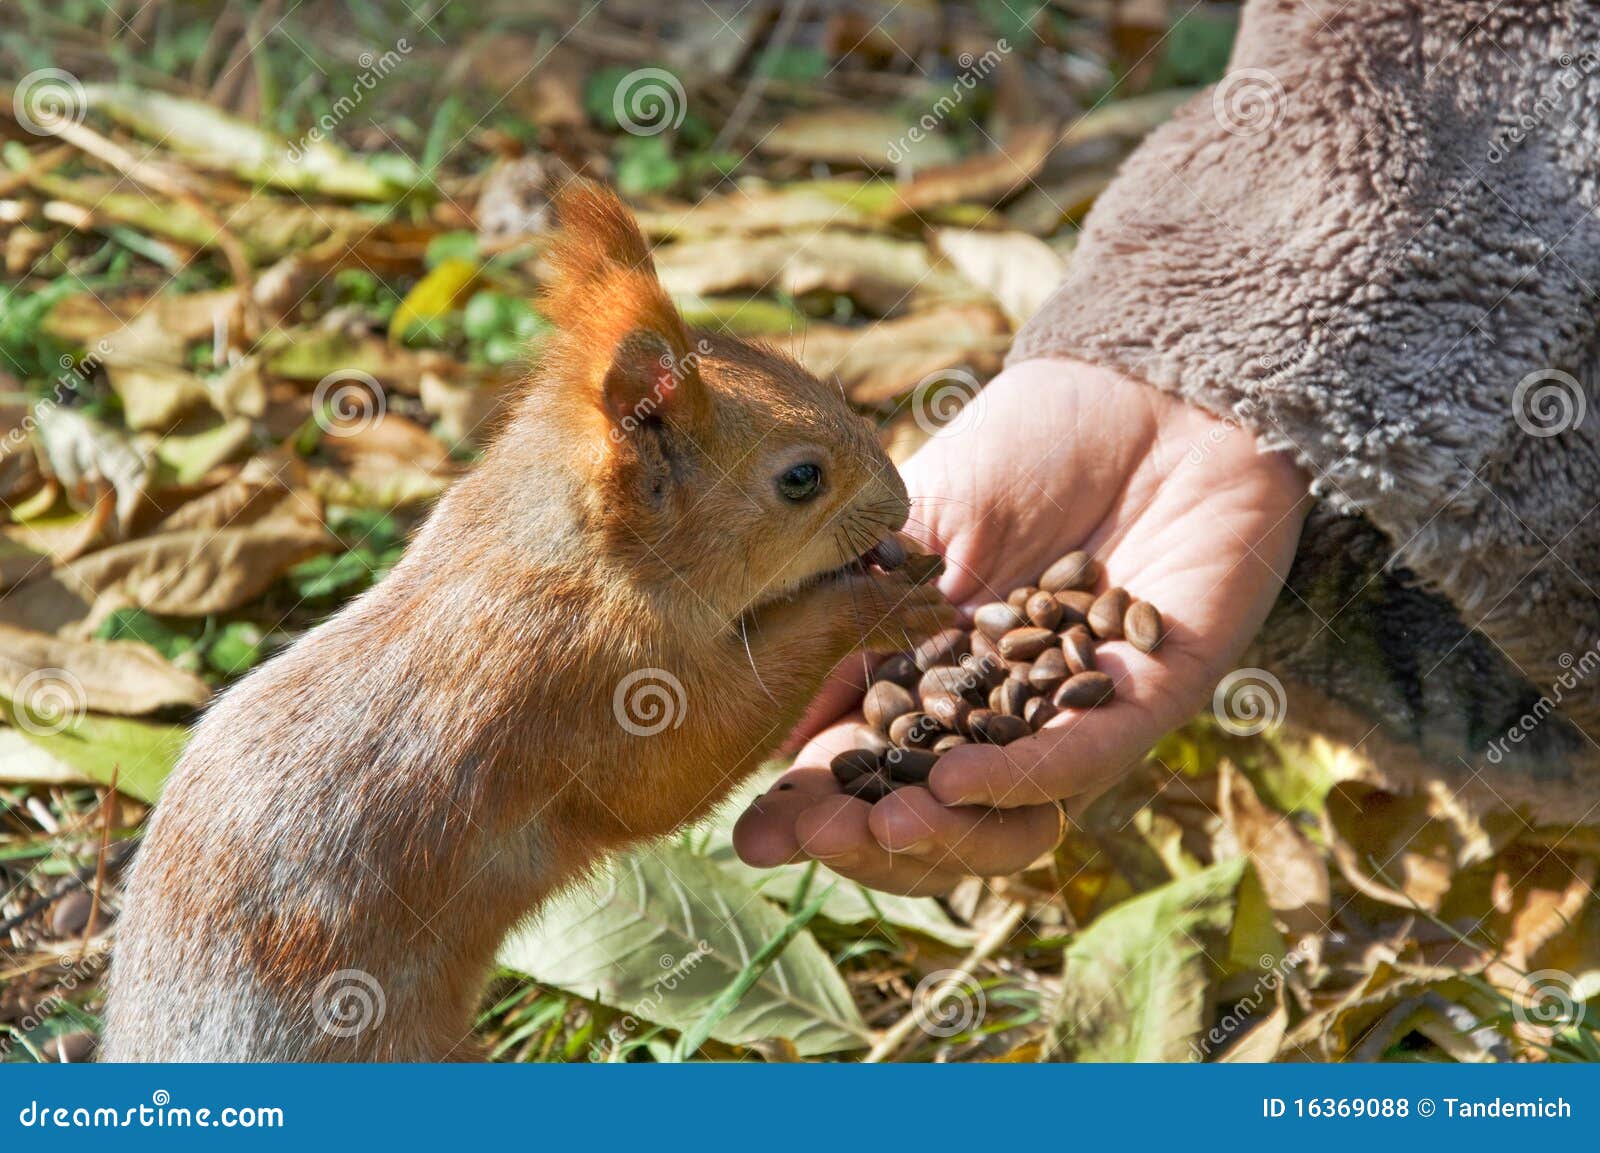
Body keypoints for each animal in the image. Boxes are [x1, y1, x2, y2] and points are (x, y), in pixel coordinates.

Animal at [102, 182, 954, 1061]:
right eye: (801, 478)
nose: (899, 500)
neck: (577, 560)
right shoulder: (593, 690)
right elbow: (680, 769)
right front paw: (875, 605)